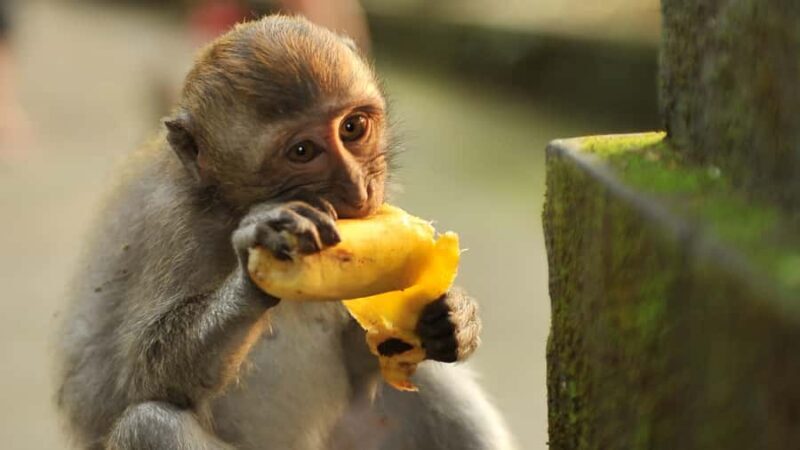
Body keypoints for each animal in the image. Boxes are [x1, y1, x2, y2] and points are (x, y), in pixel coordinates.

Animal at [54, 15, 514, 450]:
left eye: (352, 127)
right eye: (302, 151)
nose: (358, 188)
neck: (227, 206)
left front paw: (455, 316)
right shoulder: (175, 226)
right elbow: (138, 377)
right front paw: (256, 263)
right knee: (148, 424)